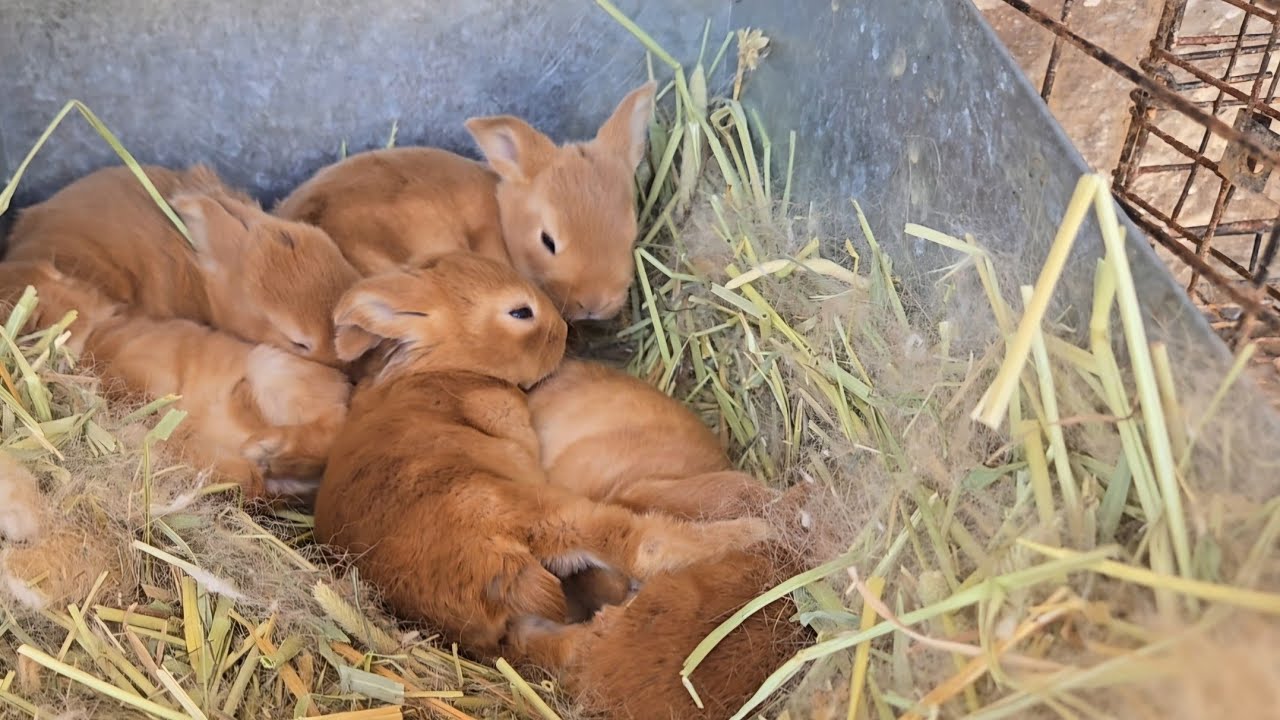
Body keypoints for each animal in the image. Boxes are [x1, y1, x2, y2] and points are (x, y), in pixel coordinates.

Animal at [313, 252, 773, 656]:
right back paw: (753, 532)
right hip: (556, 514)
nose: (565, 333)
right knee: (642, 547)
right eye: (521, 312)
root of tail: (497, 573)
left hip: (521, 626)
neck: (442, 369)